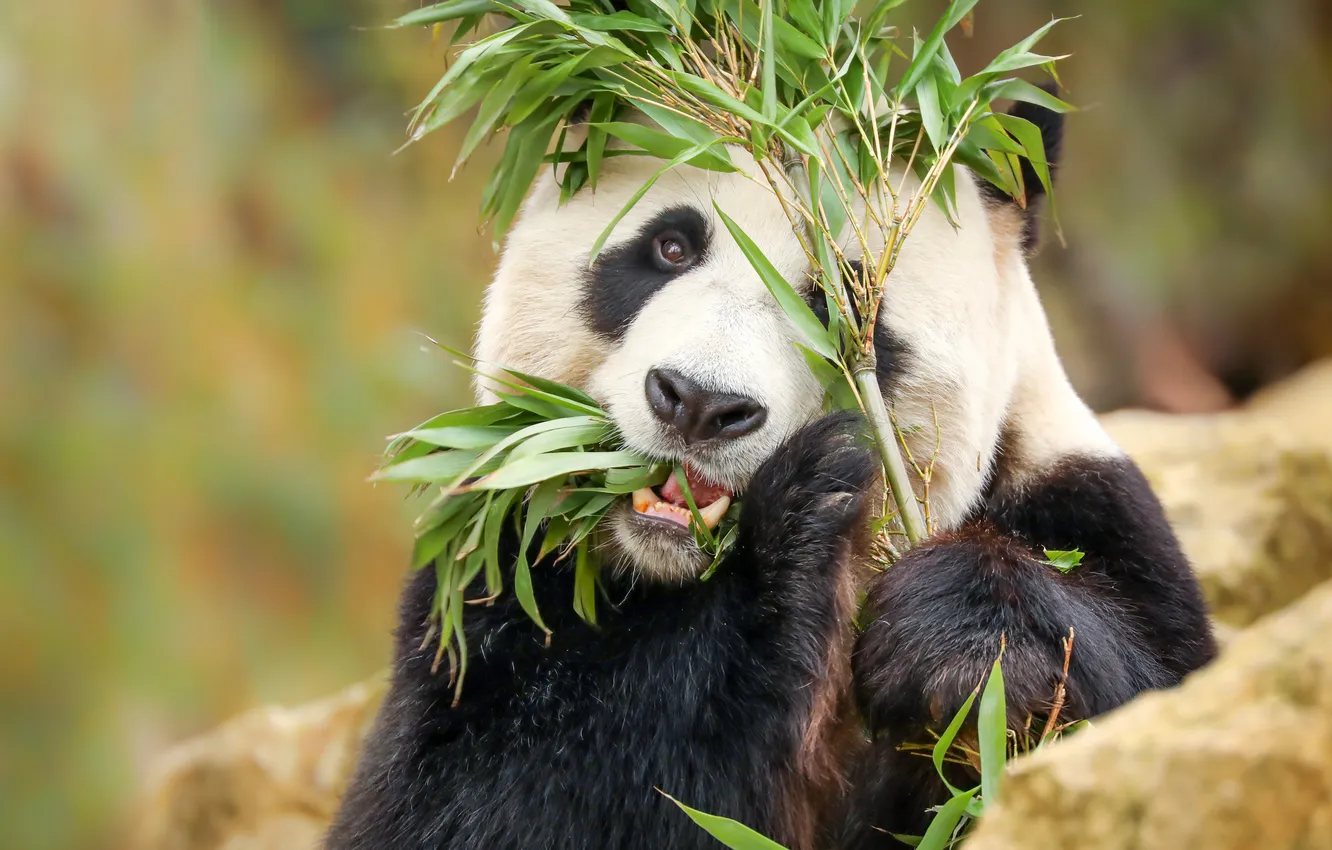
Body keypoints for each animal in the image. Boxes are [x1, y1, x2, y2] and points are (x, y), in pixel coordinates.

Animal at [324, 99, 1216, 850]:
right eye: (670, 247)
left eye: (842, 303)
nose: (698, 402)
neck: (668, 570)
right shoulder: (494, 575)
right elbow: (494, 791)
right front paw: (801, 519)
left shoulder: (1088, 515)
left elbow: (1142, 707)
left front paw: (961, 641)